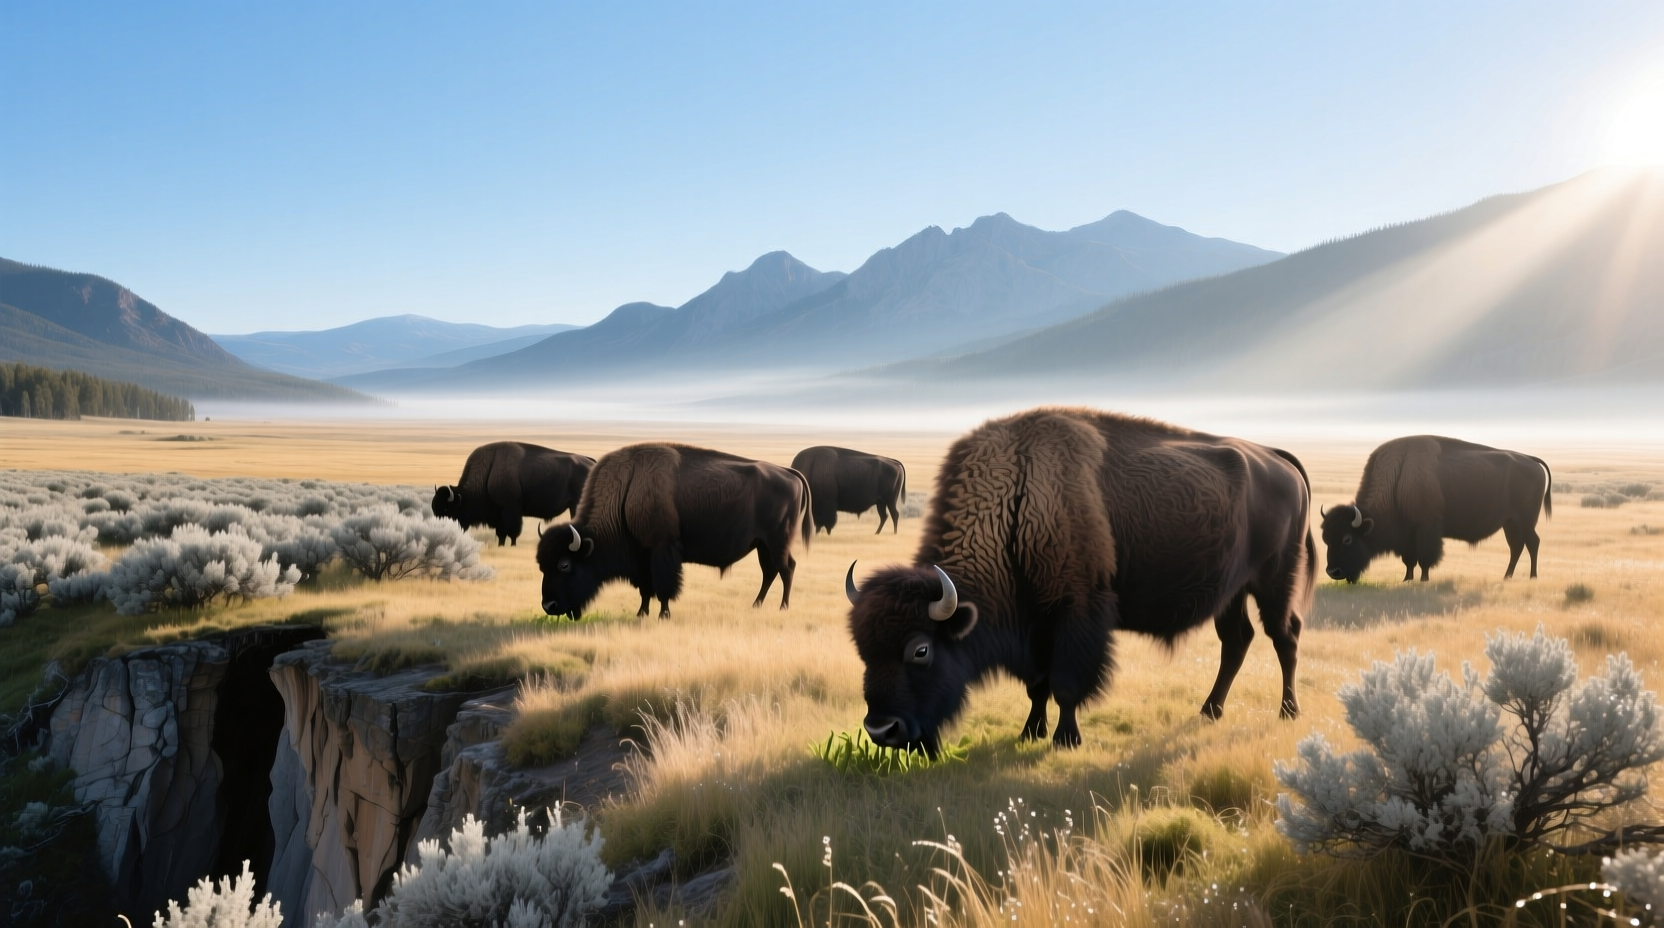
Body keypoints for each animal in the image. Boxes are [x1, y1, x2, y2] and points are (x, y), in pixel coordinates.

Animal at [432, 442, 595, 546]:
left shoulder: (511, 510)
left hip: (576, 505)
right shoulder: (499, 515)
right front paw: (501, 545)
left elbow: (512, 531)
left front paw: (513, 545)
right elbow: (501, 533)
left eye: (447, 509)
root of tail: (591, 463)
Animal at [537, 443, 812, 620]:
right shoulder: (642, 558)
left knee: (787, 569)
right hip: (763, 545)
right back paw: (756, 605)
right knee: (771, 572)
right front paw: (641, 613)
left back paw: (782, 608)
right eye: (541, 566)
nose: (549, 605)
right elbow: (646, 589)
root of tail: (790, 473)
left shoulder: (661, 551)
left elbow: (664, 586)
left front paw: (663, 615)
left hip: (777, 542)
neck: (626, 492)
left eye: (564, 565)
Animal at [845, 407, 1316, 753]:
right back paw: (1209, 711)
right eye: (862, 649)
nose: (881, 730)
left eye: (921, 650)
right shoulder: (1033, 626)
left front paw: (1065, 739)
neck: (1018, 495)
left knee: (1285, 637)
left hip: (1273, 581)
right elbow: (1037, 686)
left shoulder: (1073, 614)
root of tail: (1278, 458)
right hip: (1232, 592)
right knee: (1237, 640)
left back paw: (1288, 712)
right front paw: (1030, 731)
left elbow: (1066, 684)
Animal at [1320, 435, 1551, 584]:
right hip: (1510, 523)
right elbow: (1409, 560)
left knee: (1533, 543)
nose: (1333, 571)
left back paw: (1533, 576)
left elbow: (1425, 557)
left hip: (1525, 521)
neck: (1398, 479)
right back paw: (1507, 576)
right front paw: (1407, 579)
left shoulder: (1426, 529)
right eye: (1325, 539)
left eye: (1347, 539)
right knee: (1516, 546)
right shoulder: (1407, 536)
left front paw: (1423, 579)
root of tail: (1531, 460)